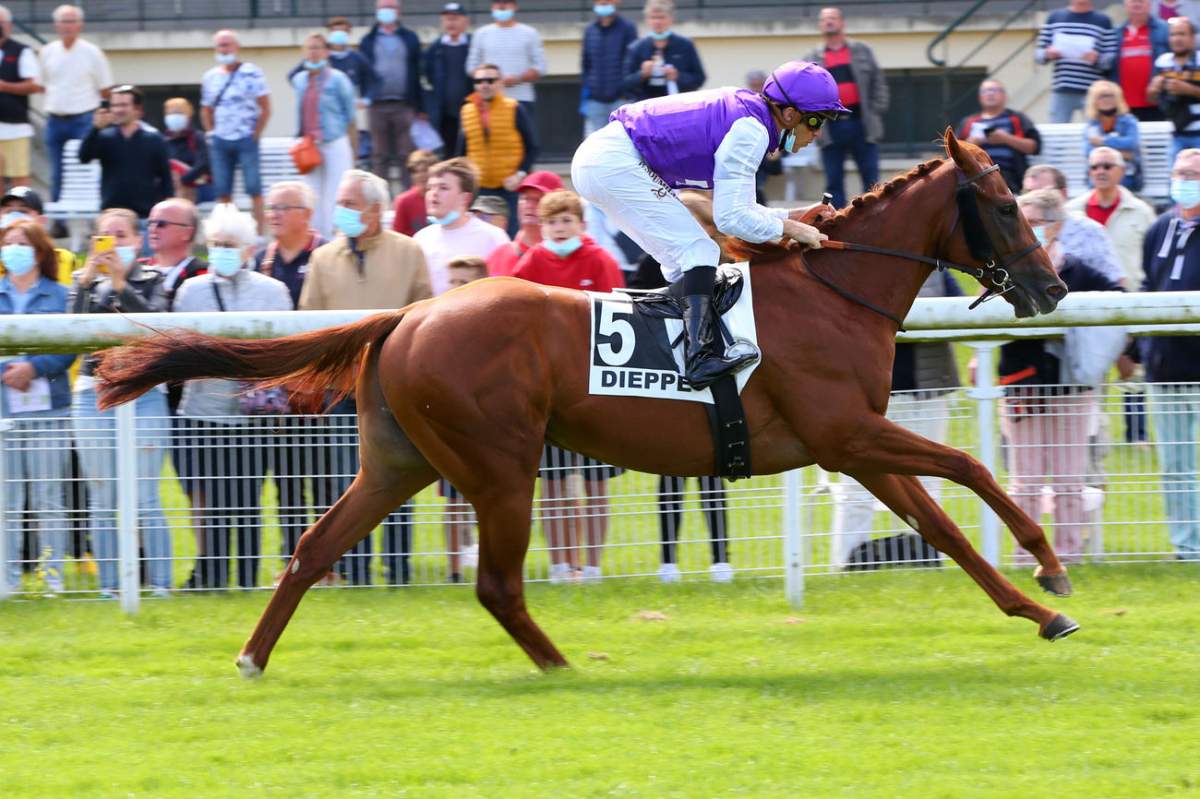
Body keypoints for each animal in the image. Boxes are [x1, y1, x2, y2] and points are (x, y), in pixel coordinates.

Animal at [95, 129, 1078, 678]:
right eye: (1000, 202)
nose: (1054, 288)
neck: (834, 294)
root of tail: (410, 311)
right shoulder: (848, 433)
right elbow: (969, 467)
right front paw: (1048, 563)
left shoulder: (856, 444)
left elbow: (944, 524)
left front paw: (1041, 608)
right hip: (501, 463)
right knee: (494, 582)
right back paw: (564, 664)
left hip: (398, 462)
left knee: (313, 547)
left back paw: (253, 656)